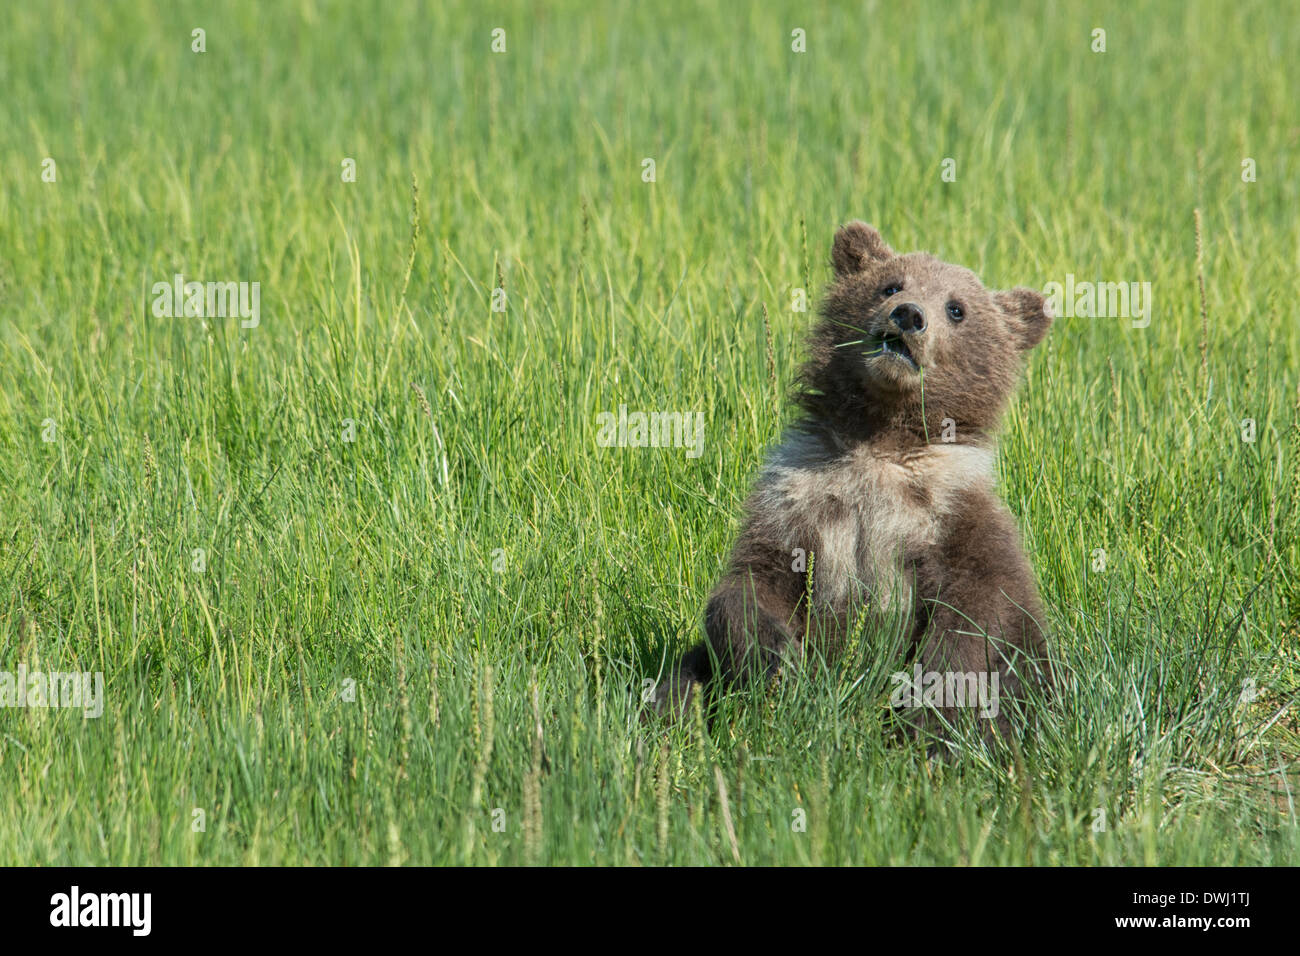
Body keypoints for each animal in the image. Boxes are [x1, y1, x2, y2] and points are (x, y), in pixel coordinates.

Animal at [648, 221, 1053, 742]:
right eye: (891, 285)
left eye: (956, 308)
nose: (909, 315)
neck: (881, 439)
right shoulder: (796, 495)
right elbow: (753, 583)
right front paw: (777, 663)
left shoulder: (952, 515)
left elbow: (979, 610)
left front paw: (928, 715)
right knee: (685, 675)